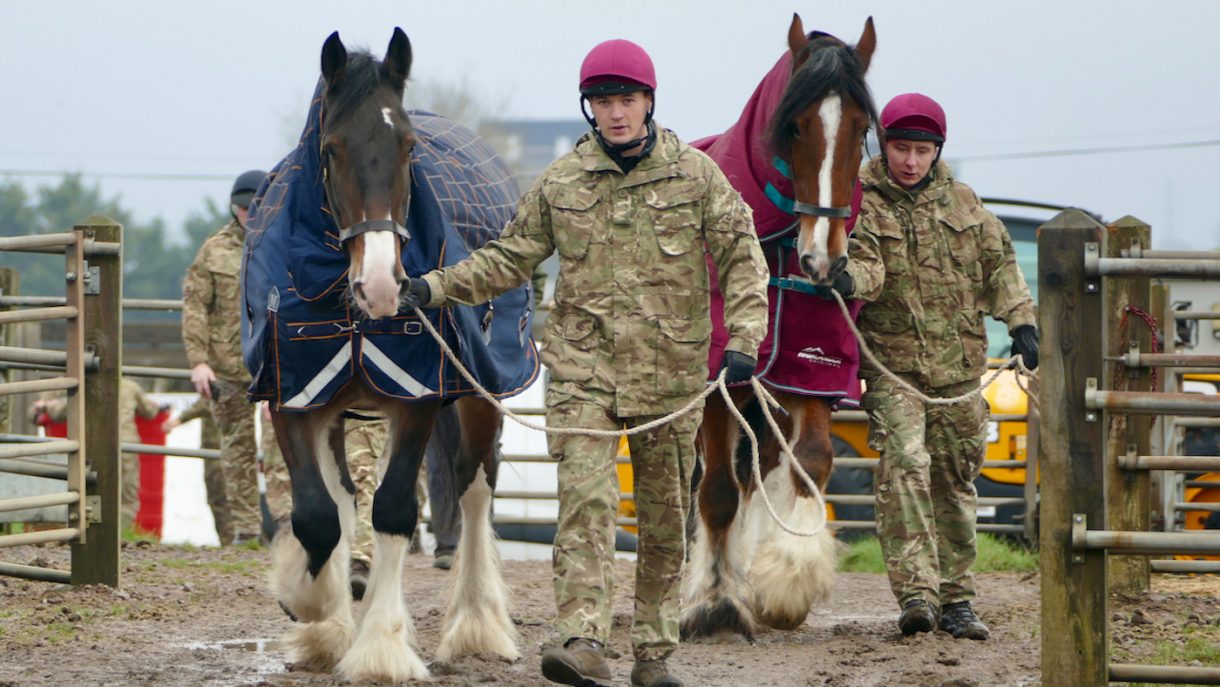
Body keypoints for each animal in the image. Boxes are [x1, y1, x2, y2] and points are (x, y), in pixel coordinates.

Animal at [241, 29, 537, 682]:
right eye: (331, 149)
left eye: (407, 147)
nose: (381, 284)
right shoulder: (295, 394)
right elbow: (318, 515)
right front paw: (314, 609)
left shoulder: (417, 396)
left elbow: (396, 509)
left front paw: (379, 646)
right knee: (346, 497)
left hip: (480, 394)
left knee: (475, 487)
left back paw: (476, 623)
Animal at [682, 14, 877, 639]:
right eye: (794, 125)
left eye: (862, 126)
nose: (825, 260)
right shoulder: (723, 378)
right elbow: (718, 490)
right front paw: (714, 603)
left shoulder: (808, 369)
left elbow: (812, 461)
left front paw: (786, 578)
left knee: (763, 470)